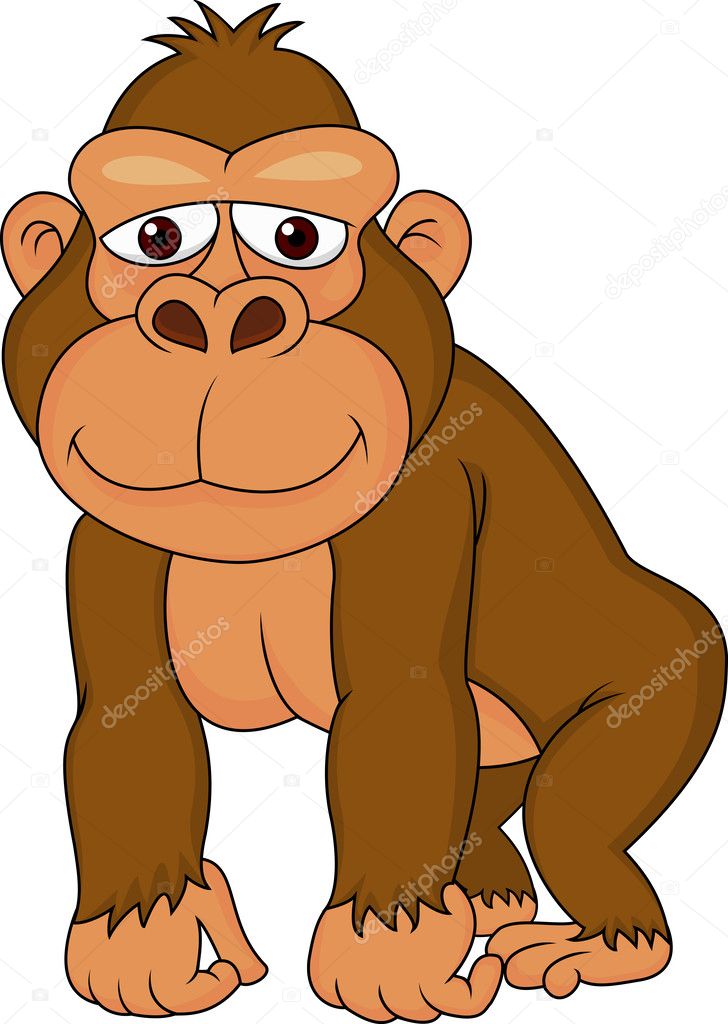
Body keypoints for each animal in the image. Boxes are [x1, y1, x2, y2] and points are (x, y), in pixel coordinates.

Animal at [1, 4, 725, 1019]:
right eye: (156, 237)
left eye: (298, 237)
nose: (218, 317)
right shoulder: (106, 544)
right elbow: (126, 722)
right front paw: (140, 941)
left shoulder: (418, 508)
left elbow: (401, 708)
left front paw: (383, 953)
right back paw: (490, 890)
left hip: (673, 671)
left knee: (571, 813)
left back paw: (598, 944)